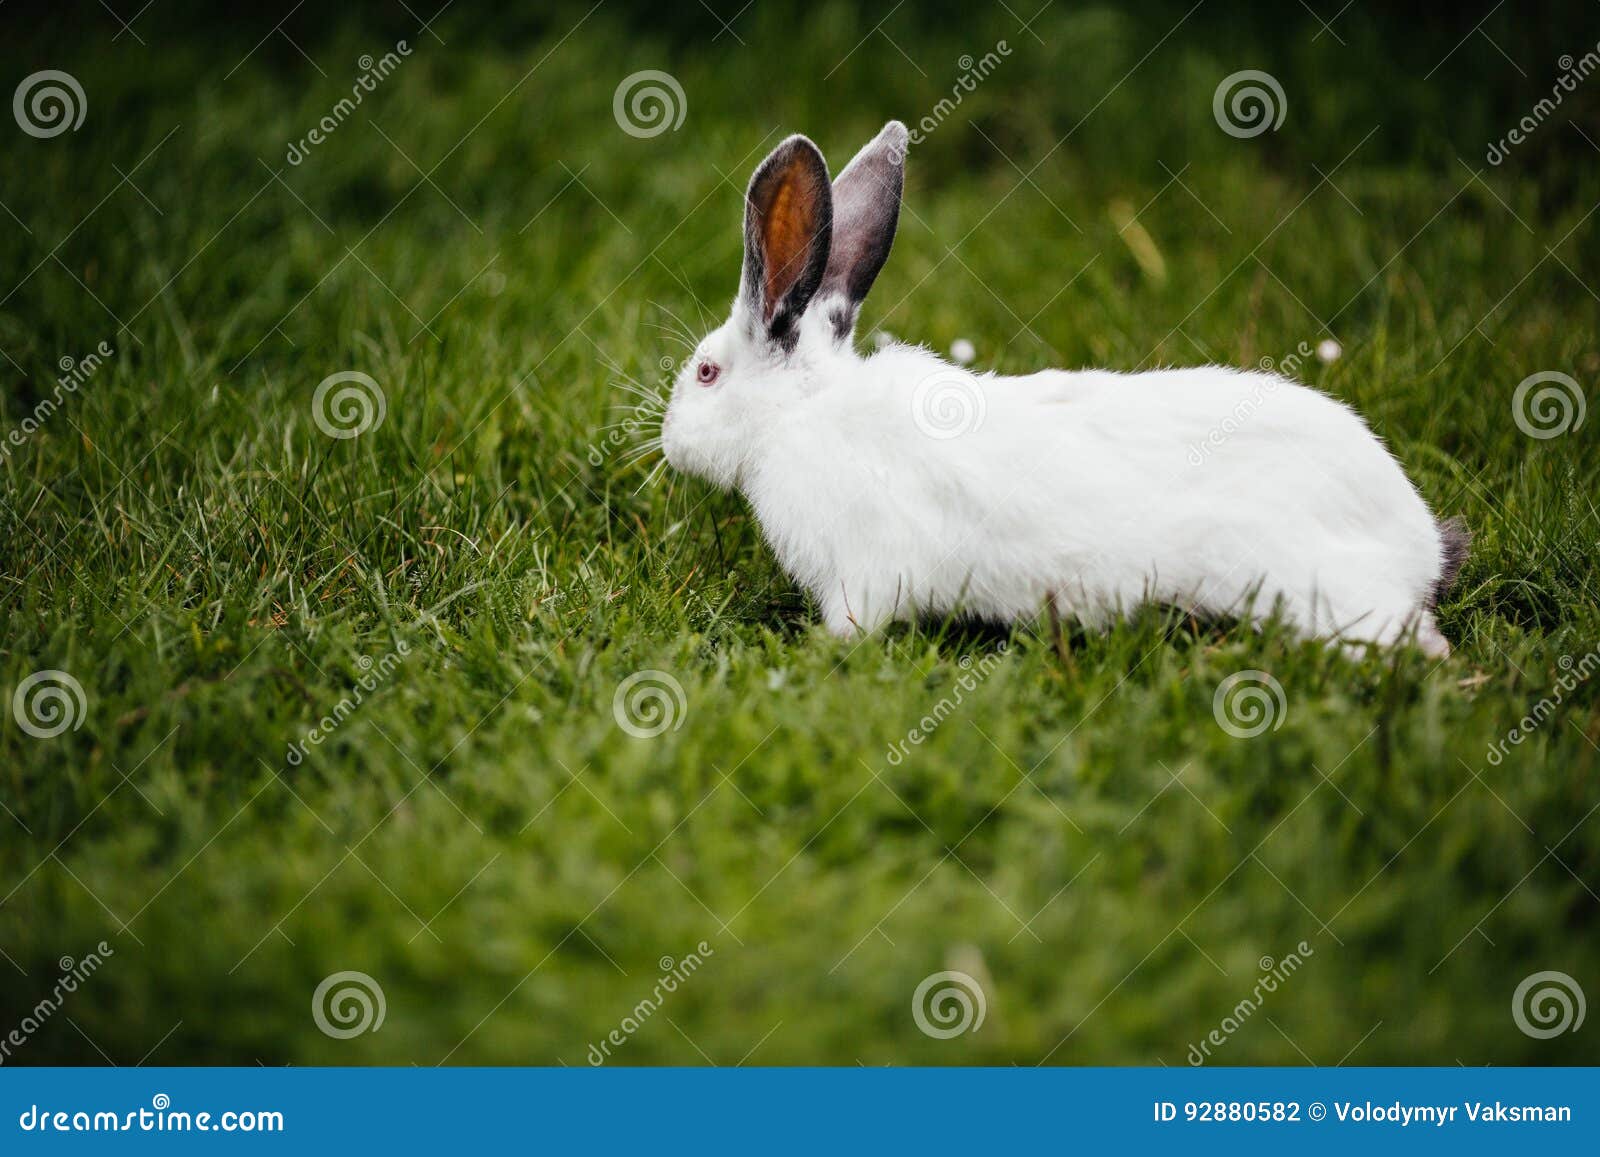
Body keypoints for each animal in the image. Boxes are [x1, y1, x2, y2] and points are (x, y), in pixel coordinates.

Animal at [660, 120, 1469, 656]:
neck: (803, 412)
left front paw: (820, 652)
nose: (667, 445)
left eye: (706, 372)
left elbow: (855, 623)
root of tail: (1417, 545)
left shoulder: (863, 575)